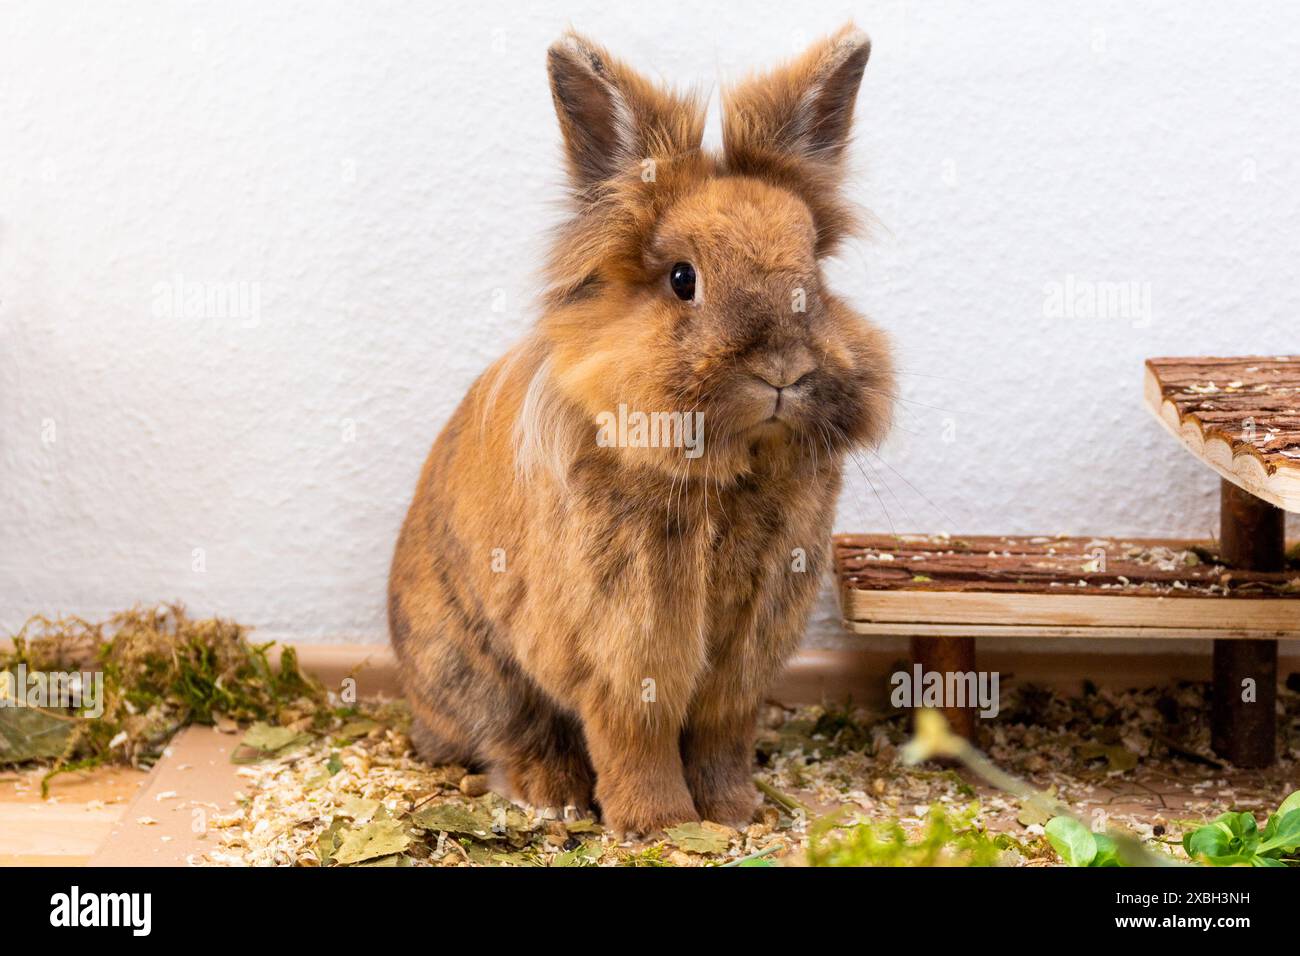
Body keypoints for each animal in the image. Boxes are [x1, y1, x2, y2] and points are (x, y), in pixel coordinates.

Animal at [388, 23, 893, 835]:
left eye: (813, 275)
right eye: (683, 279)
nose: (783, 369)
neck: (729, 470)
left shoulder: (746, 654)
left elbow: (722, 731)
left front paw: (735, 813)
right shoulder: (625, 648)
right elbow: (635, 734)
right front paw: (658, 824)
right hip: (473, 665)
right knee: (512, 735)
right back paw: (555, 796)